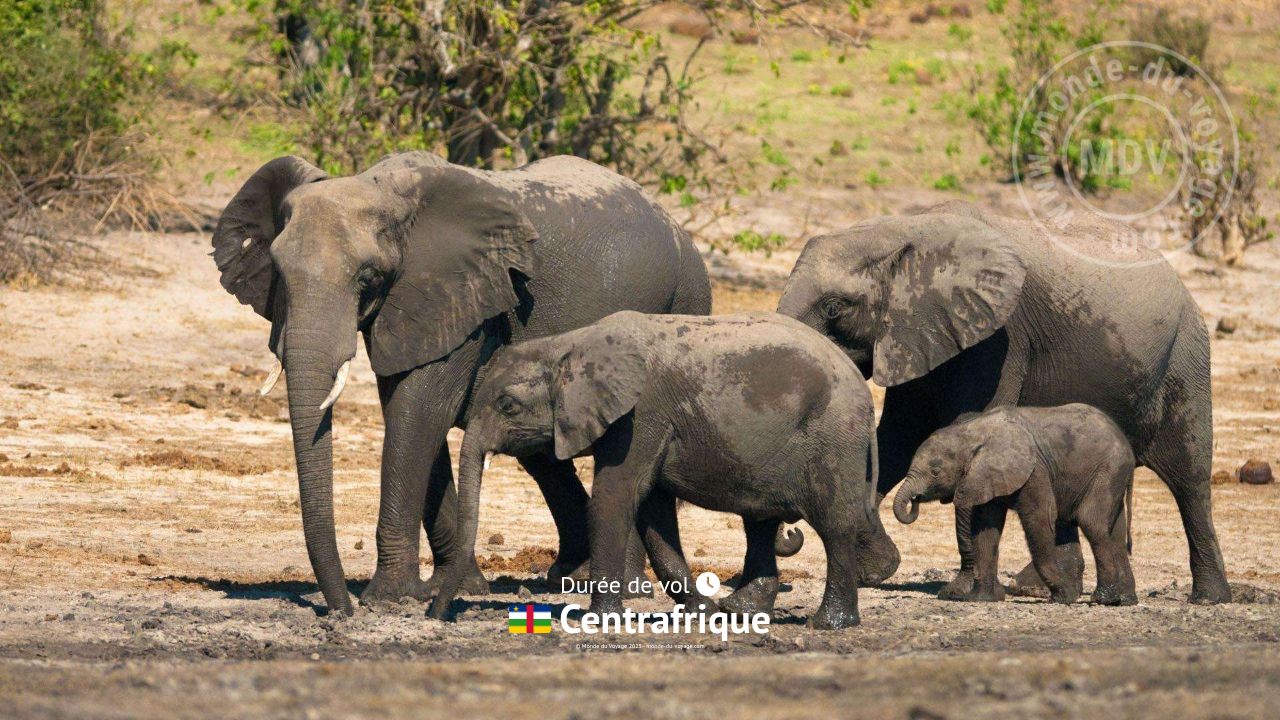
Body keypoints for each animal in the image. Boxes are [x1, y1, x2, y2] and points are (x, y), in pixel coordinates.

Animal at [209, 149, 711, 609]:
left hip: (684, 298)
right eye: (278, 273)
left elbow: (417, 413)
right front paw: (459, 587)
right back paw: (572, 576)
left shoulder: (463, 297)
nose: (341, 610)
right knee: (544, 455)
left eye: (367, 277)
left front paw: (387, 599)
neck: (382, 189)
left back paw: (624, 588)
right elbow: (408, 413)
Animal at [424, 311, 885, 625]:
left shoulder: (639, 415)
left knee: (833, 525)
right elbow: (654, 512)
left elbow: (614, 499)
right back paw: (739, 611)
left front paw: (602, 620)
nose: (437, 613)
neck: (568, 345)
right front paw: (702, 611)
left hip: (833, 436)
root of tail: (861, 388)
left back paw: (829, 624)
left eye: (507, 405)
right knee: (761, 521)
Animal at [890, 407, 1141, 602]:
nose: (915, 500)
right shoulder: (984, 475)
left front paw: (1063, 597)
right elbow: (985, 529)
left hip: (1107, 470)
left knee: (1092, 523)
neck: (973, 433)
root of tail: (1128, 447)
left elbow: (1038, 520)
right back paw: (1124, 600)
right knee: (1116, 532)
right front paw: (982, 599)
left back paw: (1103, 599)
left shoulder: (1035, 471)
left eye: (935, 471)